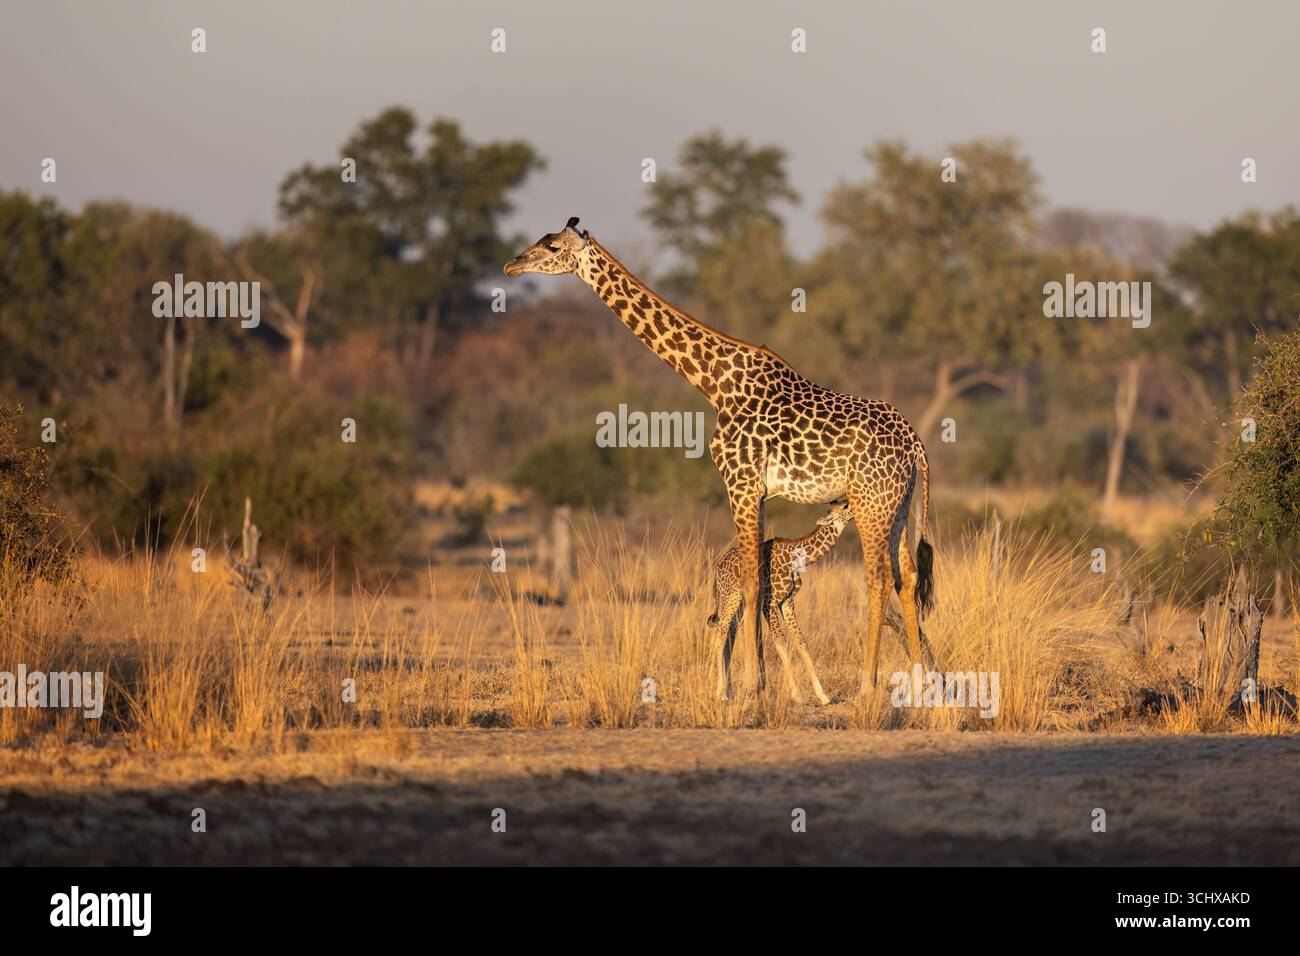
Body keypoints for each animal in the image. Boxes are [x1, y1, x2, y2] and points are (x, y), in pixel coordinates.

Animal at [707, 500, 854, 705]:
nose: (858, 509)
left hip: (740, 606)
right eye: (846, 505)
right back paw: (719, 692)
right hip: (730, 597)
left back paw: (729, 691)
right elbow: (780, 643)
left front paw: (823, 695)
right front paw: (796, 694)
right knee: (720, 634)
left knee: (729, 636)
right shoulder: (769, 602)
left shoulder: (787, 602)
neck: (793, 559)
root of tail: (717, 569)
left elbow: (801, 641)